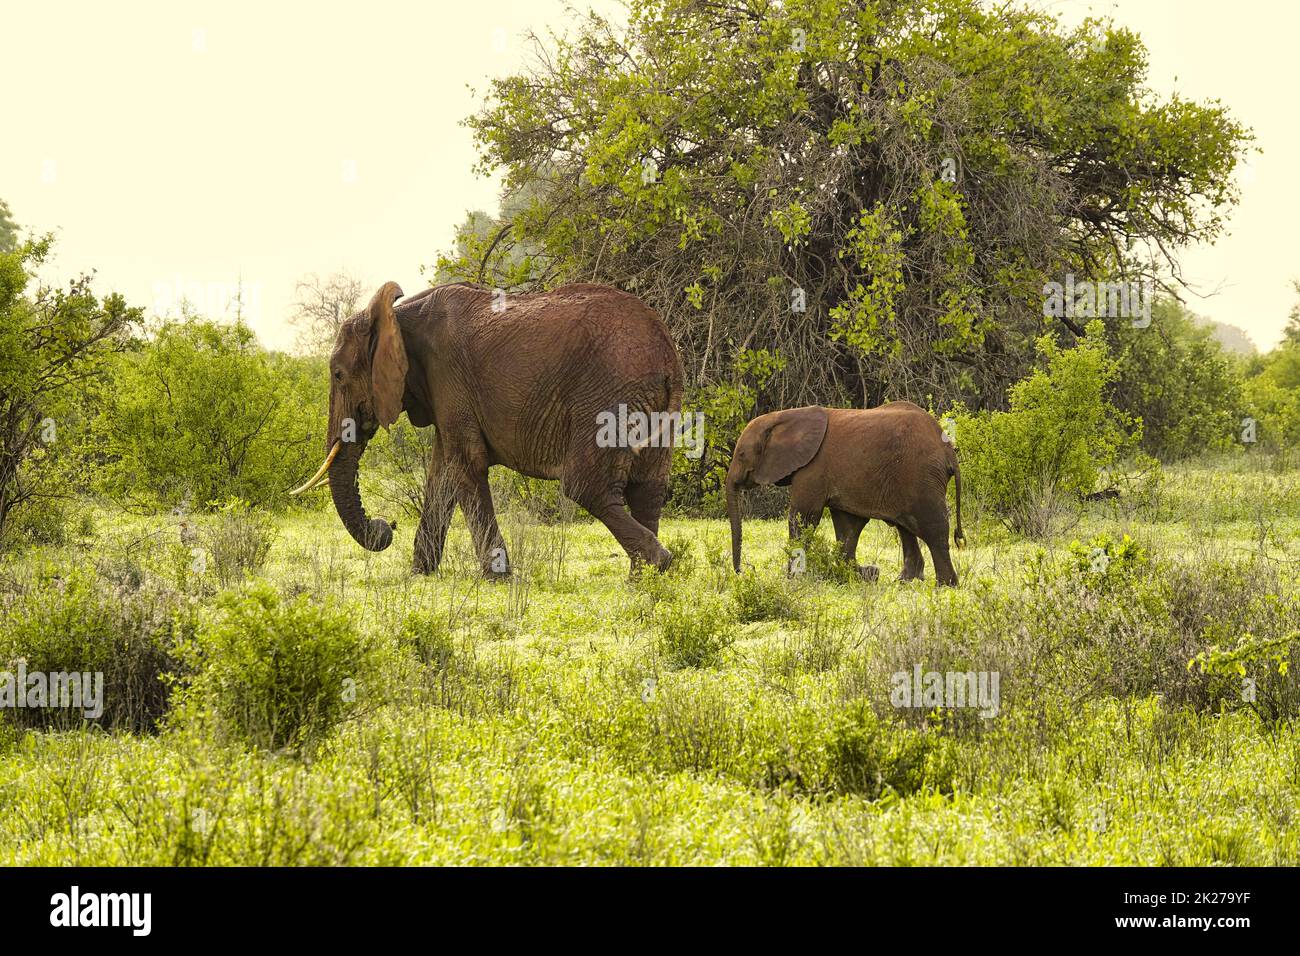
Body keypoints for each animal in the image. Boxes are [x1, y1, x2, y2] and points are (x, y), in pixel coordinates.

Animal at [290, 281, 684, 577]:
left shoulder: (448, 376)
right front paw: (420, 574)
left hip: (606, 397)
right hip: (649, 407)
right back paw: (643, 578)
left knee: (584, 486)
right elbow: (441, 475)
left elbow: (466, 465)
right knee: (649, 487)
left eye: (338, 375)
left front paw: (498, 578)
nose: (385, 527)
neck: (396, 316)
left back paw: (660, 563)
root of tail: (668, 356)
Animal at [726, 402, 965, 585]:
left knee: (932, 528)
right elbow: (848, 526)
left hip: (921, 476)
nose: (742, 572)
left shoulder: (813, 468)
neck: (785, 416)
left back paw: (945, 585)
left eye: (741, 454)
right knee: (905, 526)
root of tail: (948, 450)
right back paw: (905, 581)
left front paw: (792, 580)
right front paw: (862, 574)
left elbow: (803, 517)